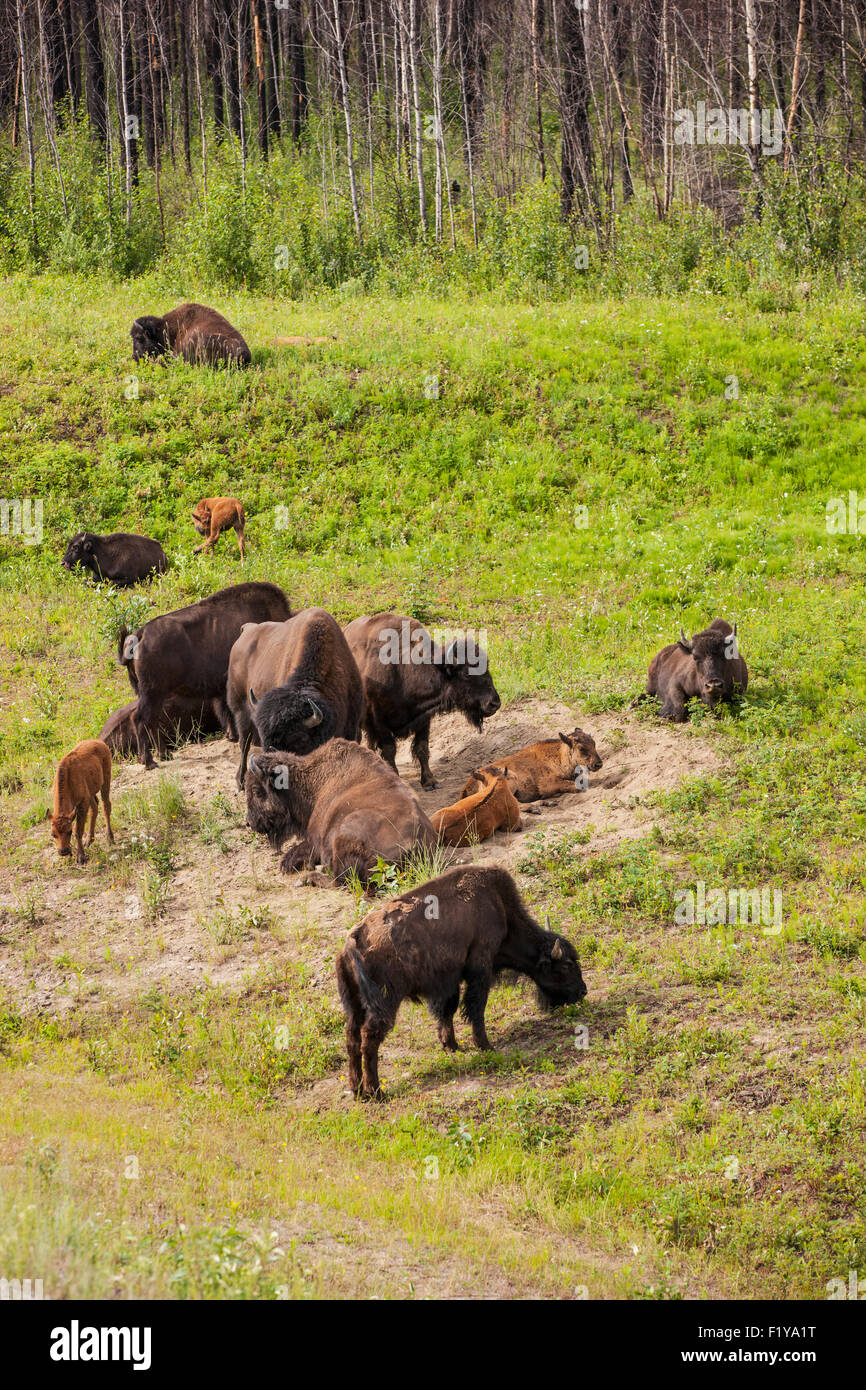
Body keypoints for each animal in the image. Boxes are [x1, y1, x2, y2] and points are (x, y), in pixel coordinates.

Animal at [118, 581, 292, 768]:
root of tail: (139, 634)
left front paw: (232, 736)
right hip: (152, 692)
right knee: (140, 719)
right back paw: (149, 762)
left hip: (153, 694)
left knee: (152, 721)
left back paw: (164, 755)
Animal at [227, 608, 364, 789]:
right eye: (264, 740)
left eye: (299, 740)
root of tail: (246, 630)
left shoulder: (351, 725)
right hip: (240, 708)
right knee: (244, 742)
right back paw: (240, 781)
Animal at [245, 739, 436, 888]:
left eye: (256, 791)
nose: (250, 822)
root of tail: (416, 845)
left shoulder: (316, 840)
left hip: (344, 836)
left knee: (340, 883)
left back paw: (307, 878)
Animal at [336, 864, 587, 1098]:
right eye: (566, 965)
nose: (582, 992)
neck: (498, 906)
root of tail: (353, 940)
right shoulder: (480, 967)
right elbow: (476, 1007)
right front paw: (485, 1046)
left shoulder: (449, 981)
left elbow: (448, 1010)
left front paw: (451, 1046)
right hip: (386, 1001)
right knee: (369, 1038)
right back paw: (376, 1092)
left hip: (354, 1004)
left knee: (352, 1038)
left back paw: (357, 1091)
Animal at [343, 613, 501, 789]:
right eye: (466, 674)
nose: (494, 703)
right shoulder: (378, 719)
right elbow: (390, 749)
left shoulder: (424, 717)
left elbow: (422, 748)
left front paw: (430, 781)